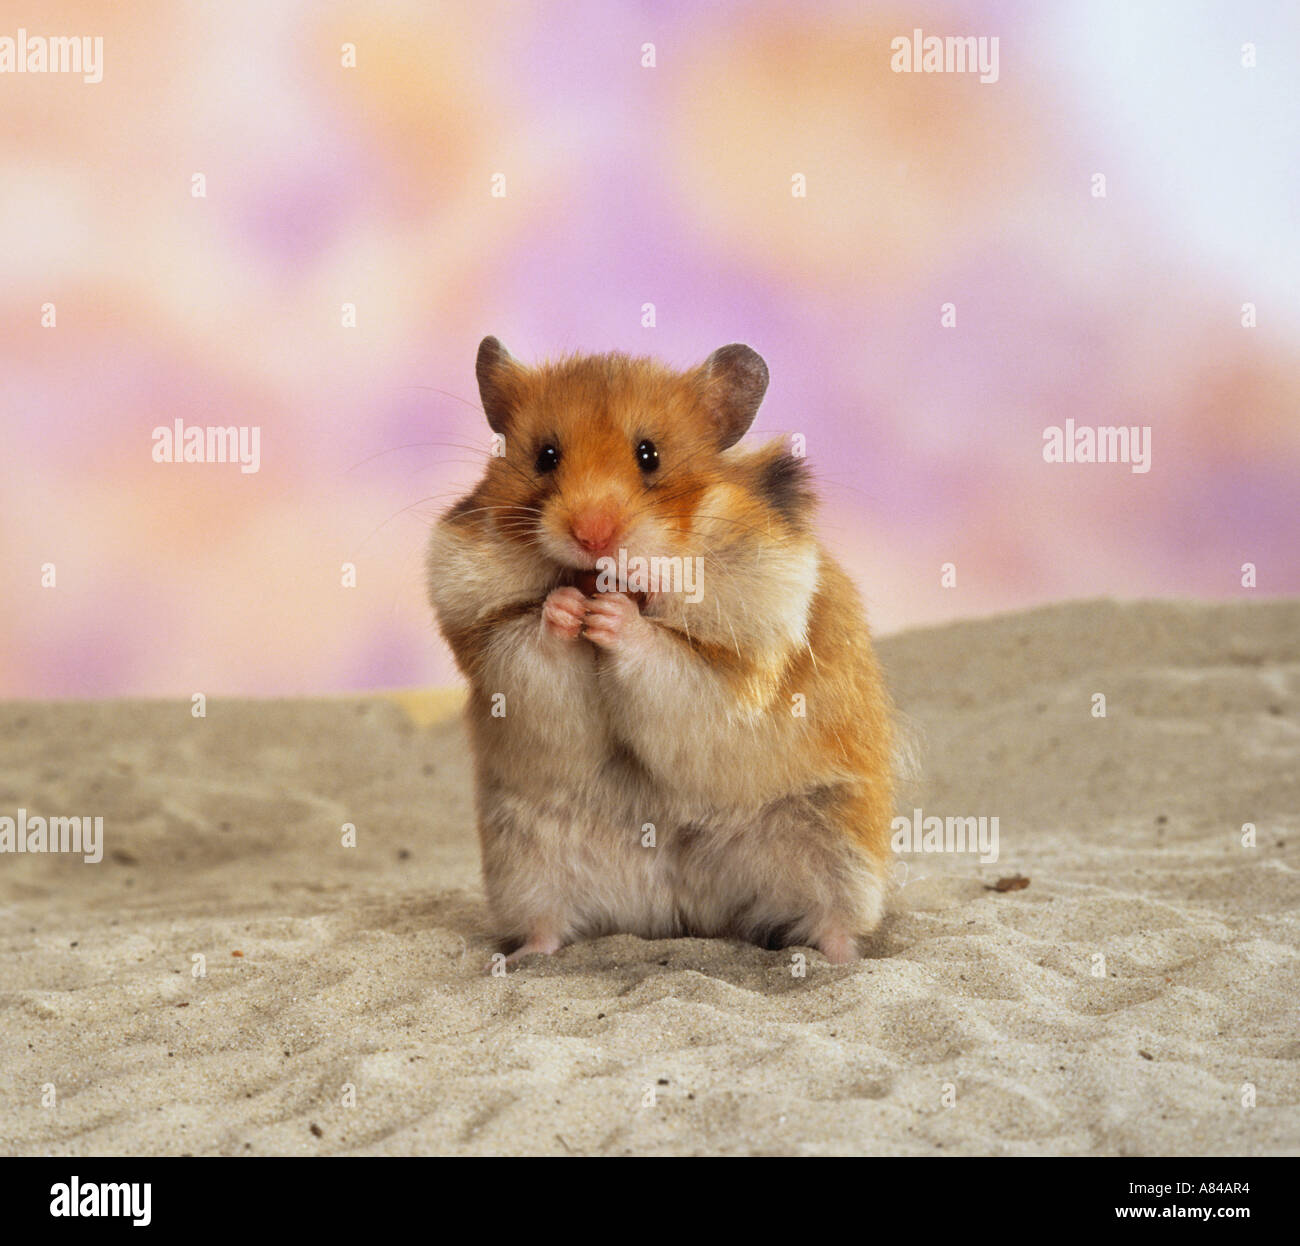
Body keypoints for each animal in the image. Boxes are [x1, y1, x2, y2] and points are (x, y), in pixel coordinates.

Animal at [426, 337, 895, 966]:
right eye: (545, 455)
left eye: (649, 455)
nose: (592, 536)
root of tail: (685, 915)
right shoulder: (479, 624)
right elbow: (531, 636)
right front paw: (568, 608)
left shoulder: (754, 625)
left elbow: (669, 629)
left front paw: (628, 598)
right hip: (523, 863)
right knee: (546, 923)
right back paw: (525, 957)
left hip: (840, 846)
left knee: (835, 921)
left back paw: (841, 960)